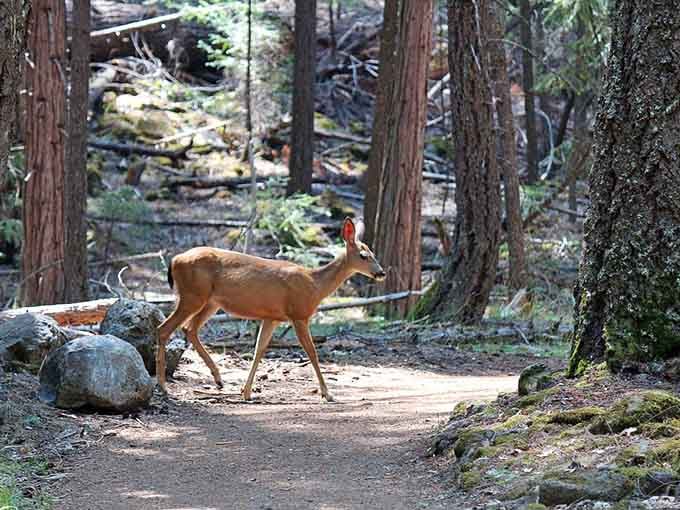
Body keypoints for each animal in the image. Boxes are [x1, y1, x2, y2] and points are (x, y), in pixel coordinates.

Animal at [155, 217, 385, 402]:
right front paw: (327, 394)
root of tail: (174, 260)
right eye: (363, 255)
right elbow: (311, 351)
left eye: (373, 253)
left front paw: (246, 392)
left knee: (189, 329)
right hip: (193, 296)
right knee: (164, 329)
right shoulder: (298, 314)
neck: (315, 285)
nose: (381, 272)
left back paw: (218, 379)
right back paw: (164, 387)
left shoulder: (272, 318)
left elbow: (259, 349)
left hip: (210, 302)